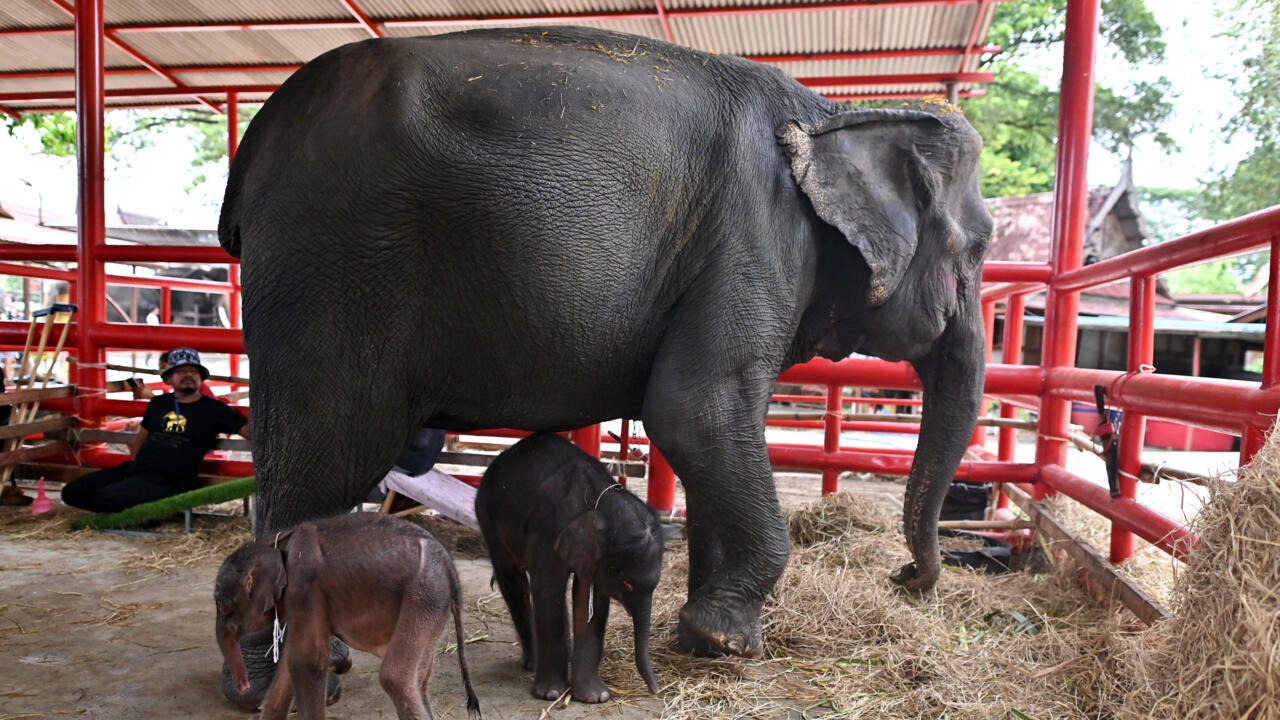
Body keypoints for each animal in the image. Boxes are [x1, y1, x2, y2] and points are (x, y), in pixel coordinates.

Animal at [214, 513, 481, 720]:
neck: (275, 544)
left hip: (423, 595)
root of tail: (450, 568)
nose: (244, 685)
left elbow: (307, 661)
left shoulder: (304, 587)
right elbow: (289, 665)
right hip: (434, 605)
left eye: (224, 607)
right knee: (420, 680)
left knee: (395, 677)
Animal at [219, 26, 991, 667]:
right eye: (980, 248)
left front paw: (702, 635)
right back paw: (291, 669)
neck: (836, 110)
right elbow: (695, 413)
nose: (906, 577)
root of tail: (256, 140)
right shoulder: (756, 241)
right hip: (332, 268)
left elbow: (709, 435)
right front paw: (730, 643)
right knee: (319, 466)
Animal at [475, 432, 663, 702]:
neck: (600, 500)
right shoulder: (548, 532)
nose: (655, 690)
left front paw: (595, 697)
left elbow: (590, 601)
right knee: (513, 580)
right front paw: (552, 694)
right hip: (488, 517)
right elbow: (548, 590)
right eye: (627, 583)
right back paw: (532, 663)